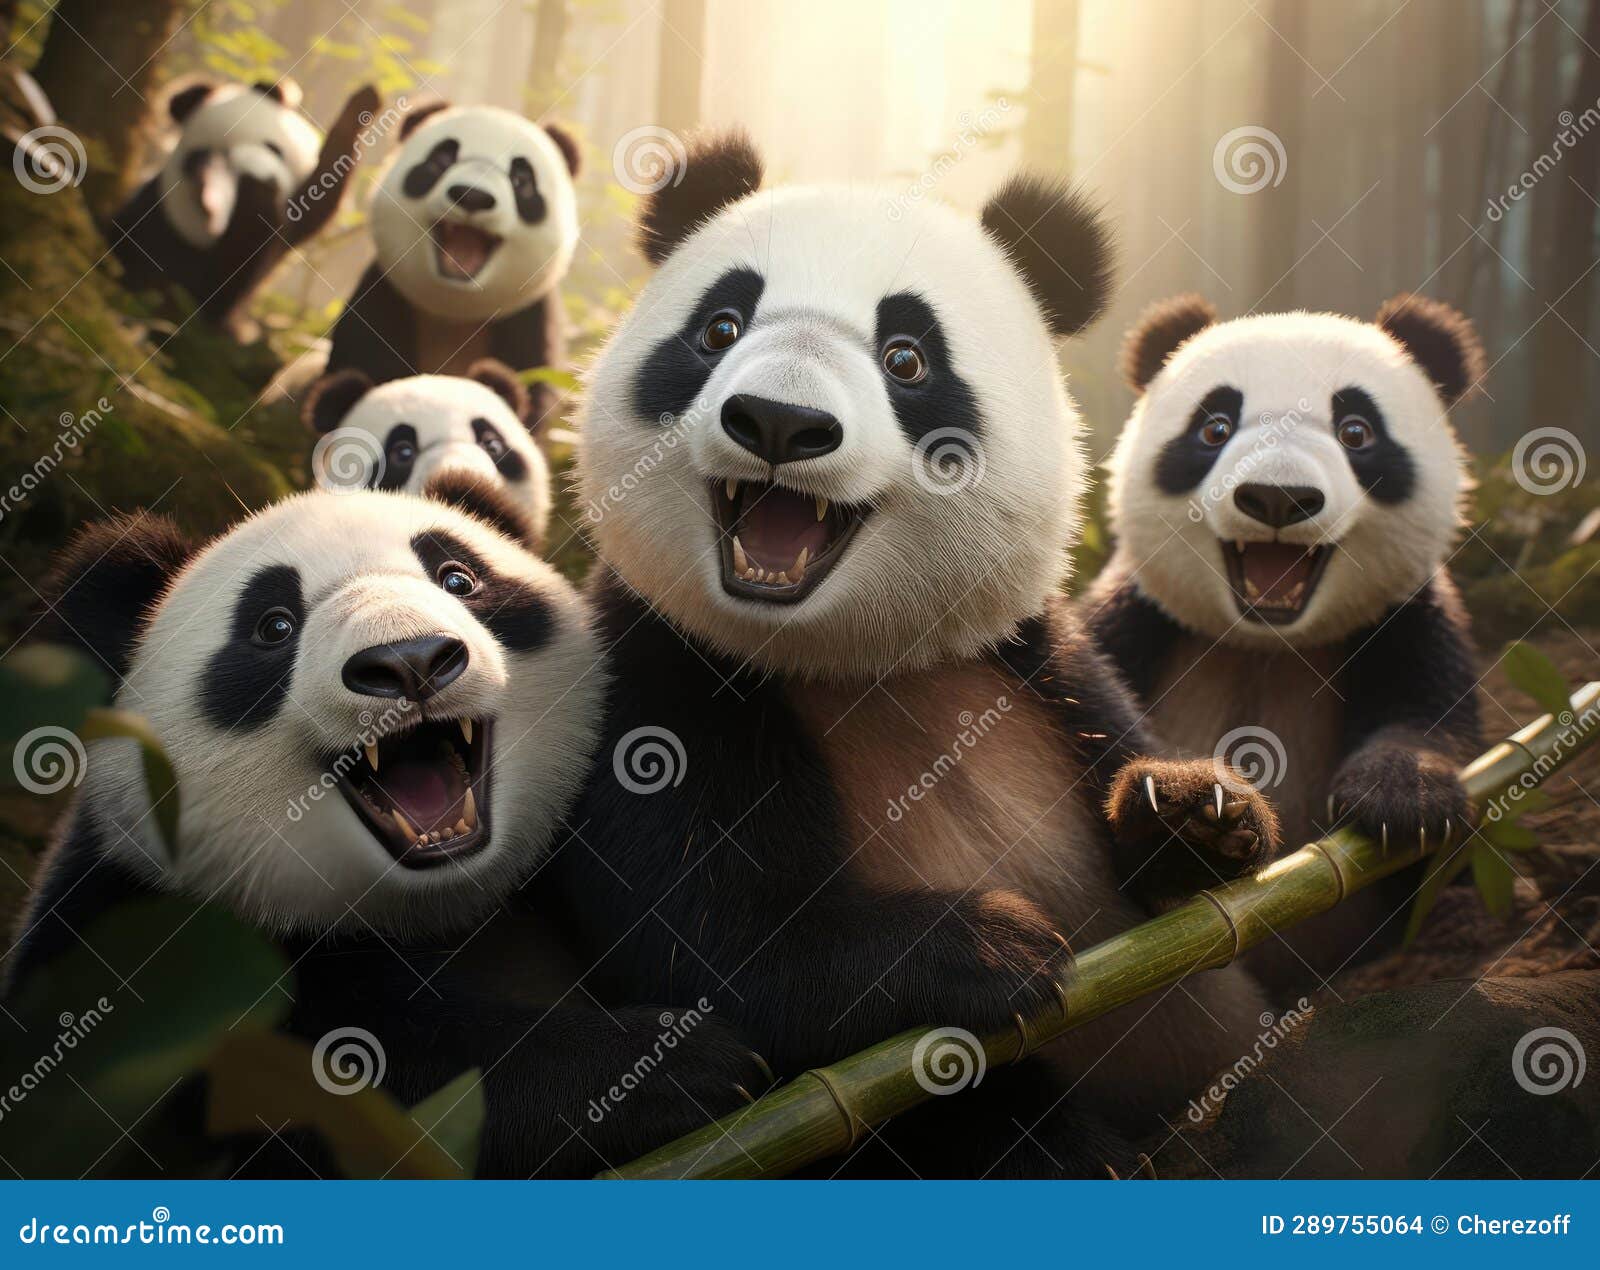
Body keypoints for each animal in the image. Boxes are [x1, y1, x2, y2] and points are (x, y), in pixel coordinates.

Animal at [5, 488, 767, 1177]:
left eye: (457, 578)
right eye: (274, 625)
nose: (410, 661)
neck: (440, 910)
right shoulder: (132, 941)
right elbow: (355, 1077)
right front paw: (675, 1065)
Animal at [108, 78, 378, 338]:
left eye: (273, 148)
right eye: (207, 161)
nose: (264, 178)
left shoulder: (293, 214)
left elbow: (321, 193)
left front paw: (364, 103)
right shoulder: (165, 241)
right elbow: (213, 292)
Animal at [325, 101, 580, 431]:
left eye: (522, 180)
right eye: (442, 160)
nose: (473, 196)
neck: (455, 311)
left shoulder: (530, 319)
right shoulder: (382, 296)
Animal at [559, 133, 1283, 1177]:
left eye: (906, 356)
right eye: (719, 328)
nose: (778, 423)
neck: (861, 663)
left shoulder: (1038, 659)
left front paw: (1200, 812)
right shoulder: (654, 680)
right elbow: (716, 957)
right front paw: (982, 949)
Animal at [1086, 294, 1485, 992]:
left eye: (1356, 432)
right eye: (1214, 427)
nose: (1277, 498)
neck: (1268, 644)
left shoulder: (1407, 616)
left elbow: (1433, 714)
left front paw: (1402, 795)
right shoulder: (1134, 618)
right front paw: (1187, 816)